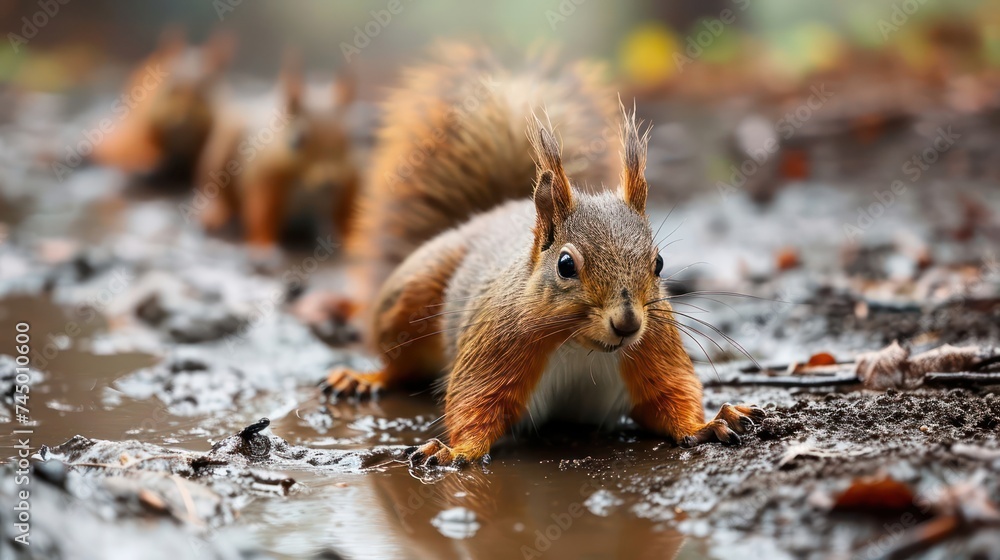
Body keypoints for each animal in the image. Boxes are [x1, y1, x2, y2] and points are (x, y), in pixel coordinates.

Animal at [92, 28, 235, 182]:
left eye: (211, 80)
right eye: (172, 86)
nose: (183, 114)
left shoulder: (207, 126)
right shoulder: (152, 116)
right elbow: (149, 137)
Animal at [196, 51, 359, 250]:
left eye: (348, 139)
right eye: (297, 141)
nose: (329, 182)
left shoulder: (348, 174)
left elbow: (349, 211)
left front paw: (358, 242)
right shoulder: (266, 173)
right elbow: (262, 212)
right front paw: (263, 245)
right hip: (223, 144)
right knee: (213, 183)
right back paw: (214, 212)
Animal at [323, 72, 764, 465]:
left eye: (658, 263)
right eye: (566, 265)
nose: (627, 323)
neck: (580, 345)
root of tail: (494, 212)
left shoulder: (654, 344)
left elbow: (670, 395)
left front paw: (709, 423)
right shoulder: (497, 344)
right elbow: (474, 401)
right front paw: (456, 451)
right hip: (406, 301)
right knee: (398, 362)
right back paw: (365, 379)